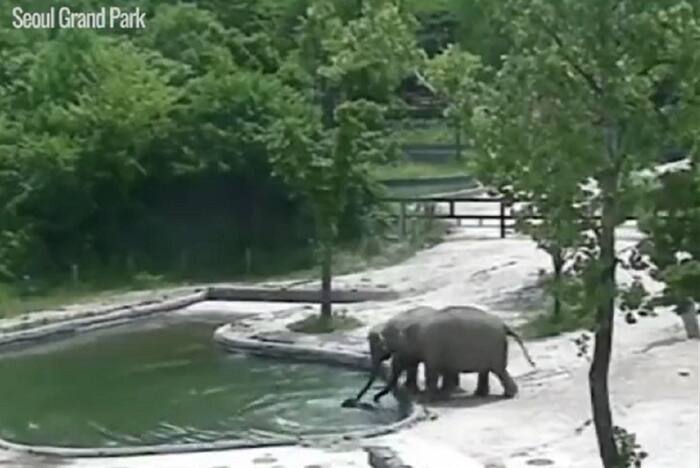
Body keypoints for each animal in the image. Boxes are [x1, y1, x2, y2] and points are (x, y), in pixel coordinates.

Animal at [373, 305, 535, 402]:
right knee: (489, 370)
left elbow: (432, 372)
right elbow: (445, 371)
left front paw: (430, 399)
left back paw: (508, 395)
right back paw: (482, 394)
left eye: (398, 353)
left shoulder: (432, 347)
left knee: (498, 370)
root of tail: (504, 325)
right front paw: (442, 396)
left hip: (493, 348)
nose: (375, 399)